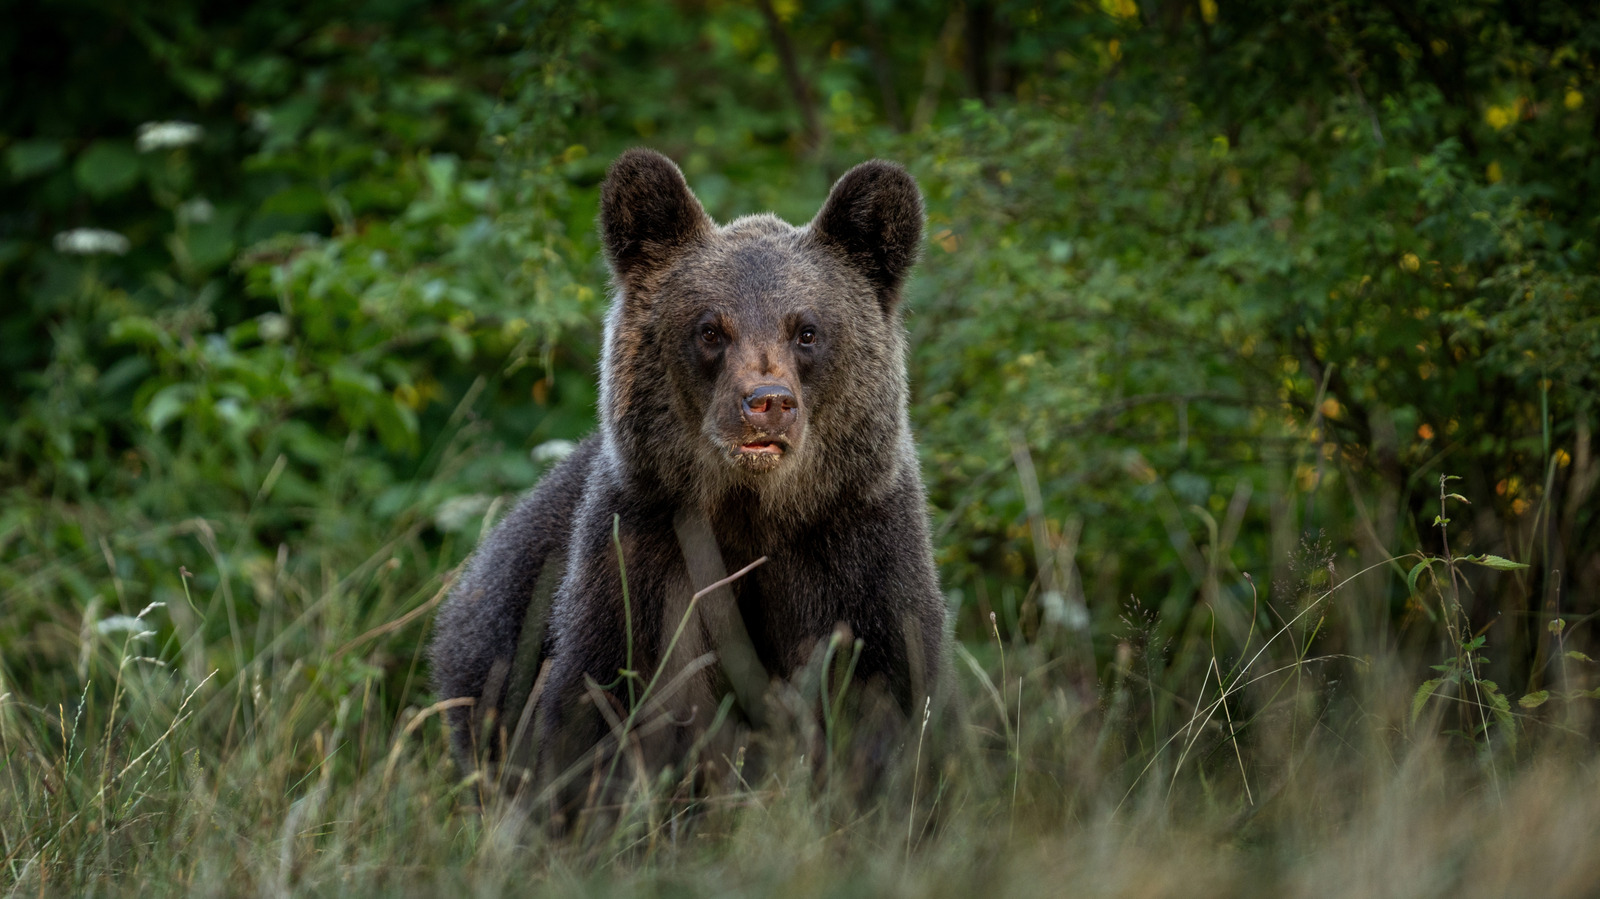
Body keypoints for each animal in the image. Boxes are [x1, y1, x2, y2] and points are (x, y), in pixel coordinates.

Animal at [428, 148, 946, 813]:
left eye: (807, 330)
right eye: (710, 329)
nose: (767, 403)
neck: (752, 513)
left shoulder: (858, 552)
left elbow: (883, 702)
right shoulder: (645, 552)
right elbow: (607, 706)